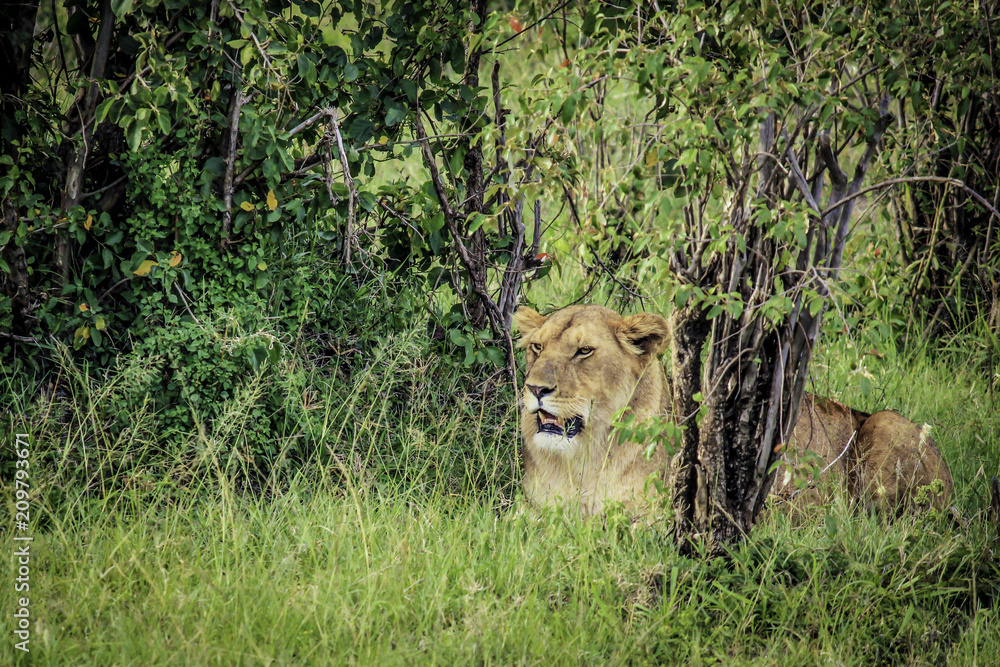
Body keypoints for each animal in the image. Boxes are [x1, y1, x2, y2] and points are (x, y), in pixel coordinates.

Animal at [513, 304, 953, 518]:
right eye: (537, 347)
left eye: (584, 351)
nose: (535, 389)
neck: (583, 458)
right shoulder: (532, 515)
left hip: (885, 424)